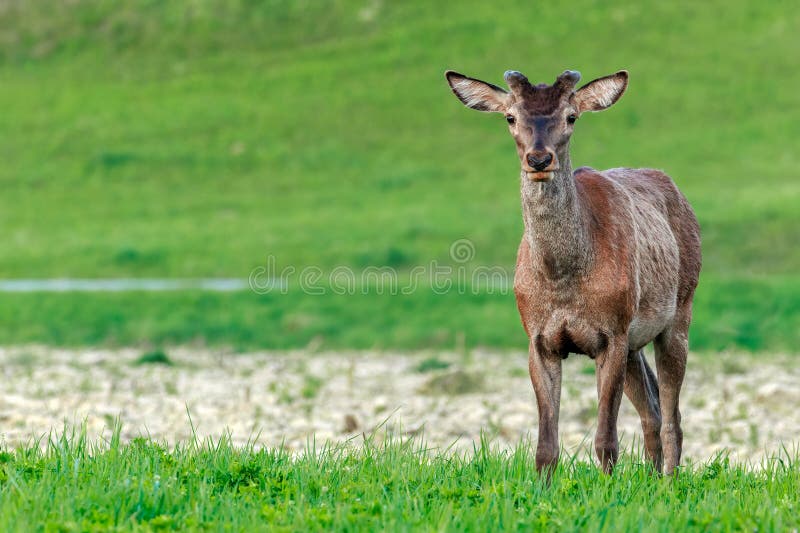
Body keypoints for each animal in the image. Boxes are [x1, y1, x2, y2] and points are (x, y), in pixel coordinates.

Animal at [445, 68, 701, 475]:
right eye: (510, 117)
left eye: (571, 116)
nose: (538, 158)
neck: (562, 279)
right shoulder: (539, 338)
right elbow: (546, 446)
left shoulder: (612, 333)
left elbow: (606, 440)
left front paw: (609, 488)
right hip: (635, 340)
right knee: (653, 408)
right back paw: (650, 478)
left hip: (679, 312)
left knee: (672, 415)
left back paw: (668, 481)